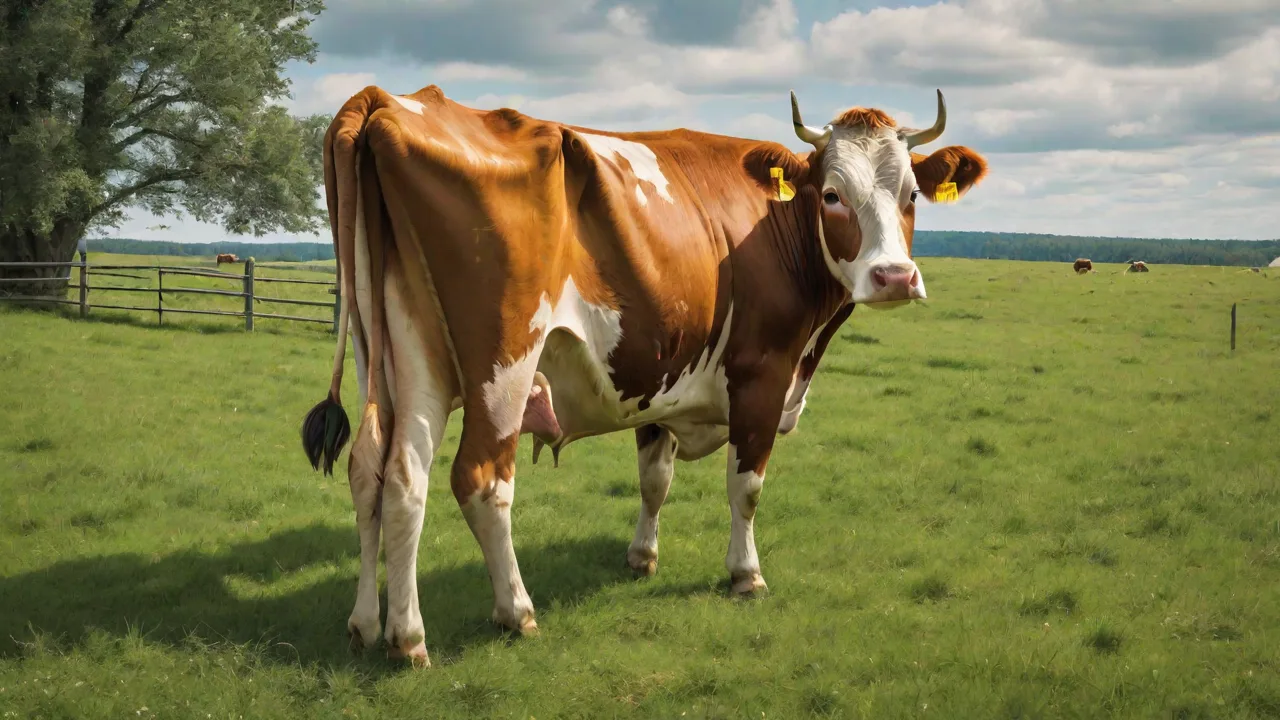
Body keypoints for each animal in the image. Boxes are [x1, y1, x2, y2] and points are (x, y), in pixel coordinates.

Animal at [300, 84, 989, 667]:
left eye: (912, 196)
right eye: (831, 195)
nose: (894, 277)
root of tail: (388, 101)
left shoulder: (656, 378)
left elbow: (654, 479)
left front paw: (642, 556)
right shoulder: (761, 376)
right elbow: (747, 487)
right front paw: (746, 574)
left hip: (401, 358)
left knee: (386, 475)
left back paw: (381, 628)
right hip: (502, 365)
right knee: (481, 479)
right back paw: (507, 613)